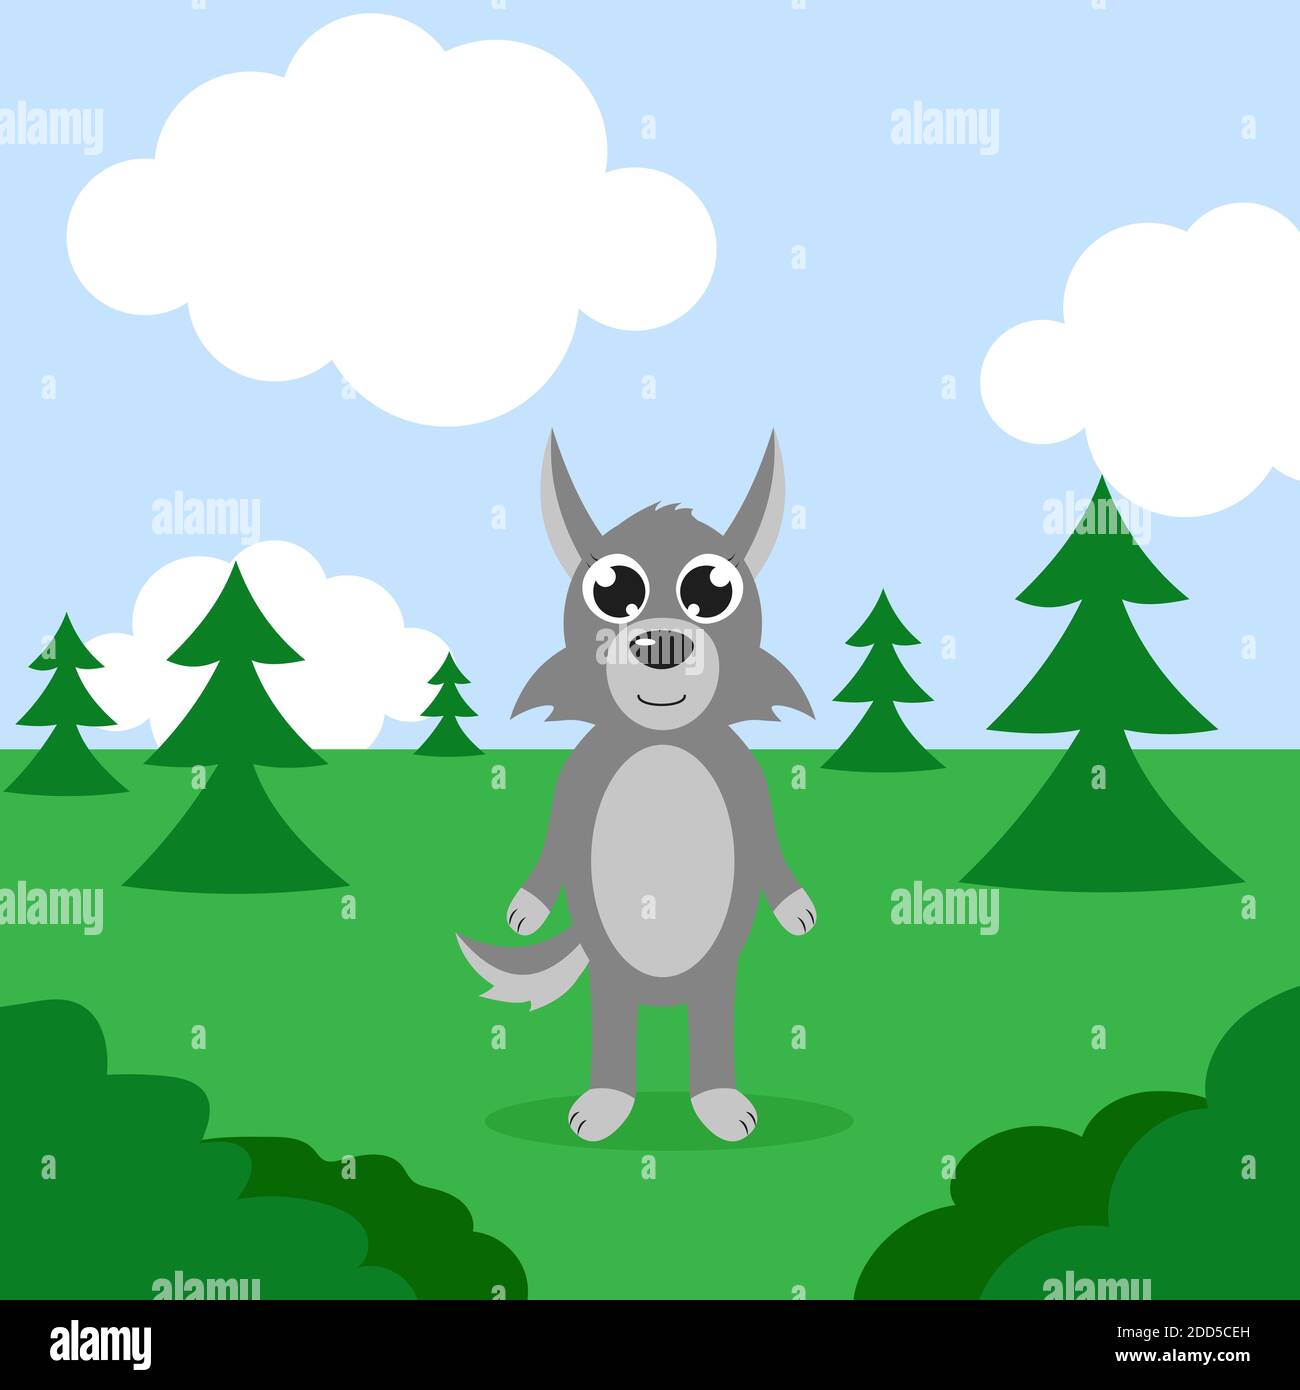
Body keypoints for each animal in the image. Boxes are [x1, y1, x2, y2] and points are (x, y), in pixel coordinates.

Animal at [458, 432, 816, 1143]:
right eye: (615, 589)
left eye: (711, 590)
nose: (662, 646)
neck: (662, 742)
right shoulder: (579, 780)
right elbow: (555, 841)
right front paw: (525, 907)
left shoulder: (744, 781)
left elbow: (767, 845)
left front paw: (797, 909)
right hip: (613, 972)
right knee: (616, 1021)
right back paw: (605, 1104)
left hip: (715, 971)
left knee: (709, 1019)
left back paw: (718, 1103)